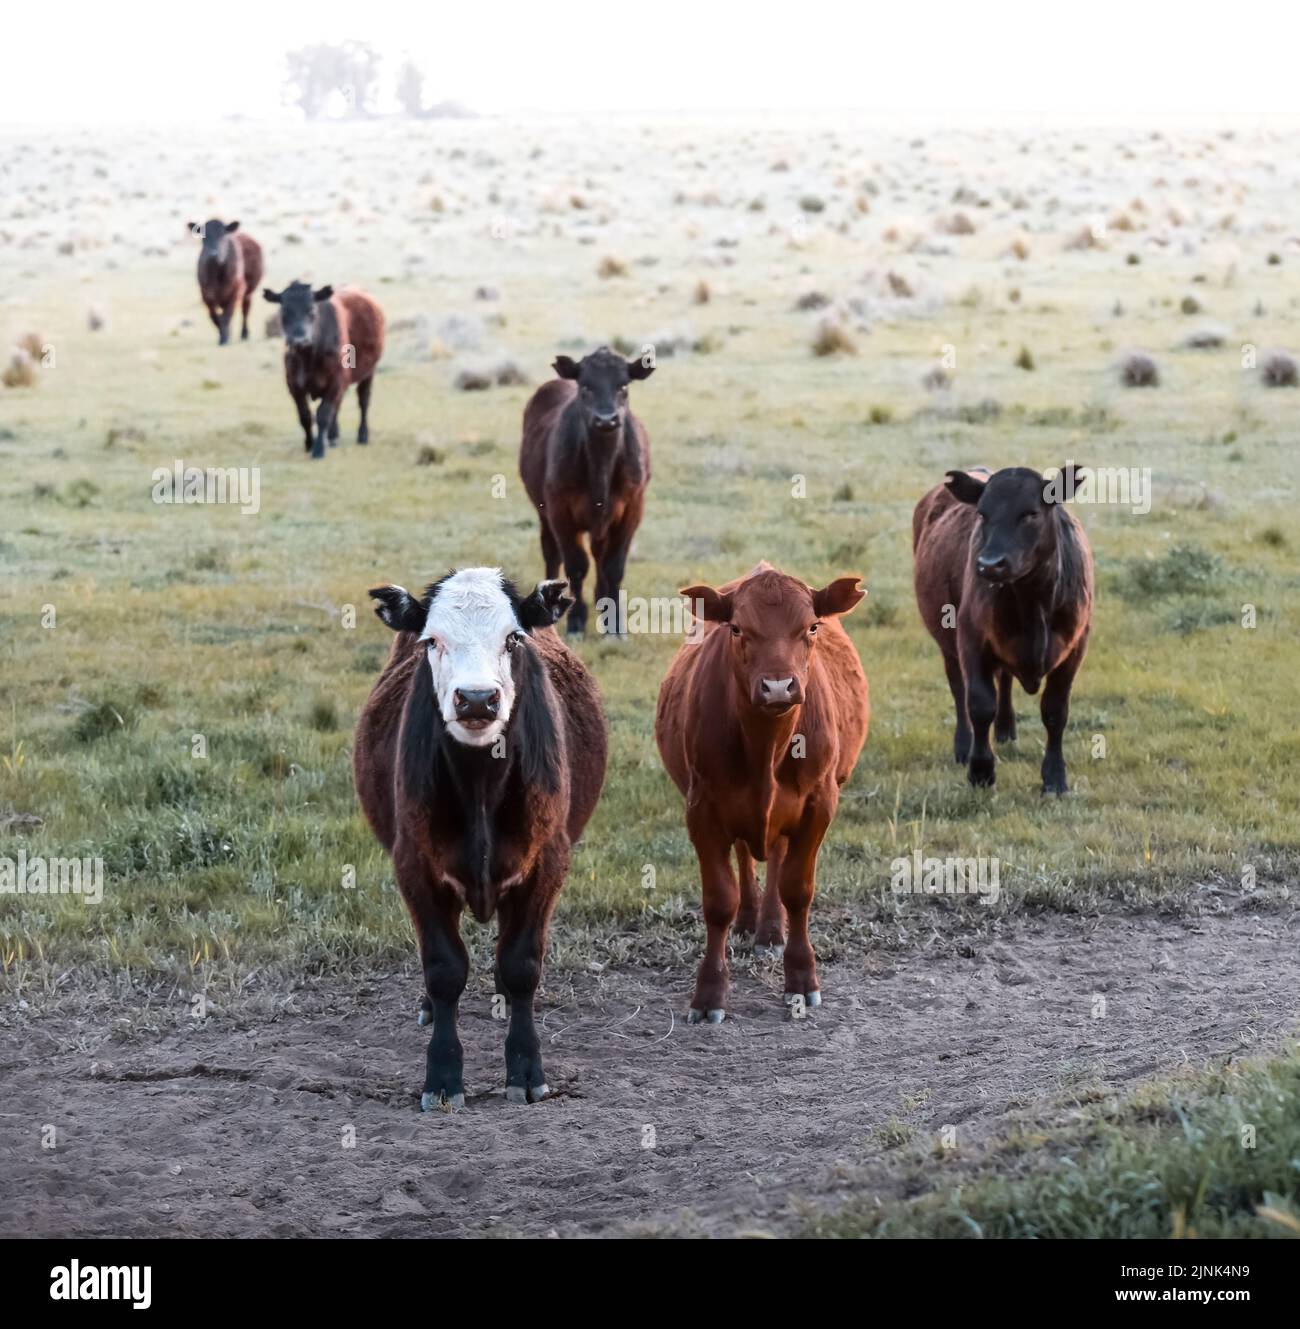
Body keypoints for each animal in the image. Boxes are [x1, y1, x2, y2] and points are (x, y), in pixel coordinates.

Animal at [262, 281, 384, 459]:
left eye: (312, 310)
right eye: (284, 312)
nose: (299, 340)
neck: (308, 358)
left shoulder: (336, 381)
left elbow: (323, 415)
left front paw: (318, 449)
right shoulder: (294, 385)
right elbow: (305, 416)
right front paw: (309, 444)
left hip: (368, 373)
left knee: (363, 402)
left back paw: (362, 435)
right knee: (338, 406)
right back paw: (333, 436)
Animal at [353, 568, 608, 1109]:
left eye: (513, 639)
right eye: (433, 640)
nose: (475, 699)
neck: (480, 786)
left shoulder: (547, 862)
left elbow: (520, 964)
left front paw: (527, 1071)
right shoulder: (414, 865)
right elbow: (444, 968)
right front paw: (443, 1077)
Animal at [519, 346, 654, 636]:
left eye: (623, 385)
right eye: (586, 386)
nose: (606, 419)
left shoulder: (633, 508)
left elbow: (613, 566)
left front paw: (614, 624)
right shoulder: (559, 511)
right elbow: (576, 565)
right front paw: (576, 621)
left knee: (599, 555)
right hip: (544, 514)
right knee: (552, 553)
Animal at [654, 562, 869, 1022]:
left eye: (811, 626)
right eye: (737, 628)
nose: (777, 687)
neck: (766, 746)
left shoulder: (819, 805)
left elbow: (797, 889)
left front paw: (802, 979)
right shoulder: (702, 810)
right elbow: (719, 900)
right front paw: (709, 994)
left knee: (777, 859)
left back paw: (770, 929)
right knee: (745, 855)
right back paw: (750, 921)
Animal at [912, 464, 1094, 794]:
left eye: (1030, 513)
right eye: (982, 514)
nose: (989, 564)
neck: (1032, 602)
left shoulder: (1075, 648)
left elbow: (1055, 711)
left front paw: (1055, 777)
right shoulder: (971, 641)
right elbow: (980, 704)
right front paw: (981, 770)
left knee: (1005, 680)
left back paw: (1006, 730)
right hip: (948, 642)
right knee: (959, 689)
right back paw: (964, 745)